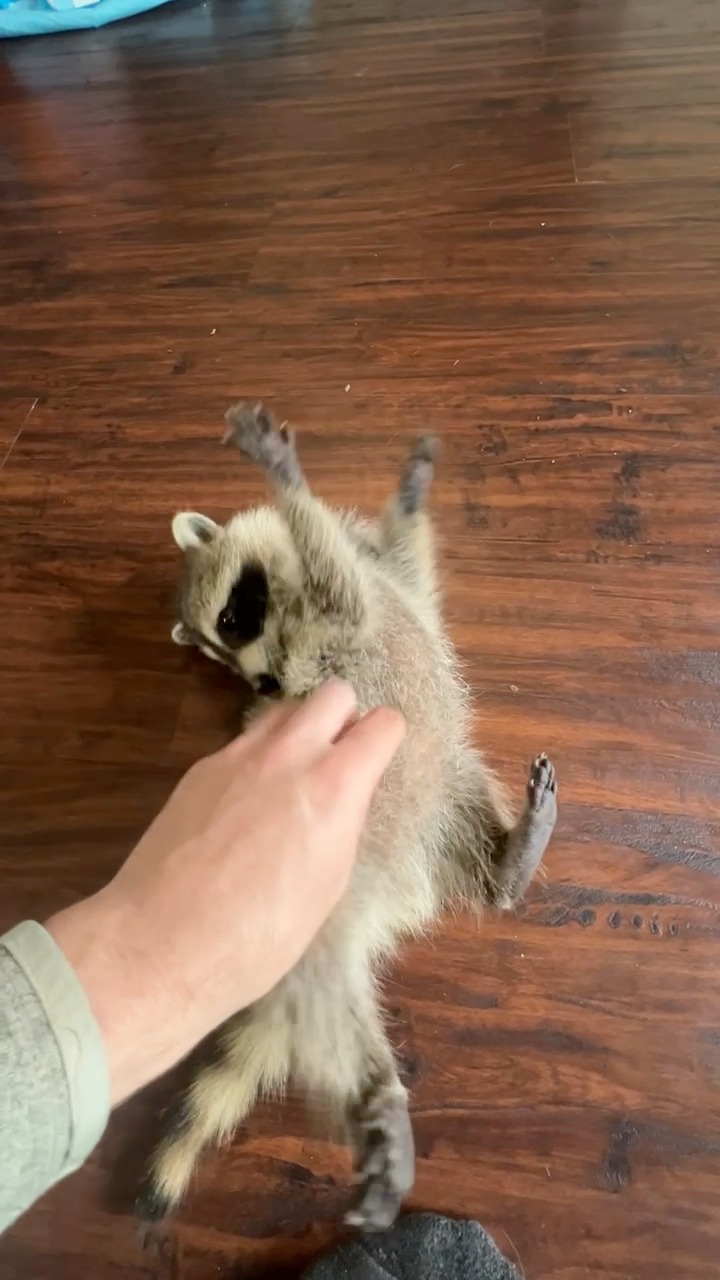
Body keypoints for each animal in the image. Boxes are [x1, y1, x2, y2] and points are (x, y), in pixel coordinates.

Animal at [137, 402, 557, 1233]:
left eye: (231, 616)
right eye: (225, 658)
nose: (268, 687)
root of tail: (396, 898)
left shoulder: (378, 582)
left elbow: (406, 562)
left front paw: (406, 494)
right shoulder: (339, 618)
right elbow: (344, 590)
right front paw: (291, 484)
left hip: (438, 791)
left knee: (467, 807)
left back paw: (508, 862)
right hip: (324, 900)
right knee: (331, 996)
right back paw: (375, 1091)